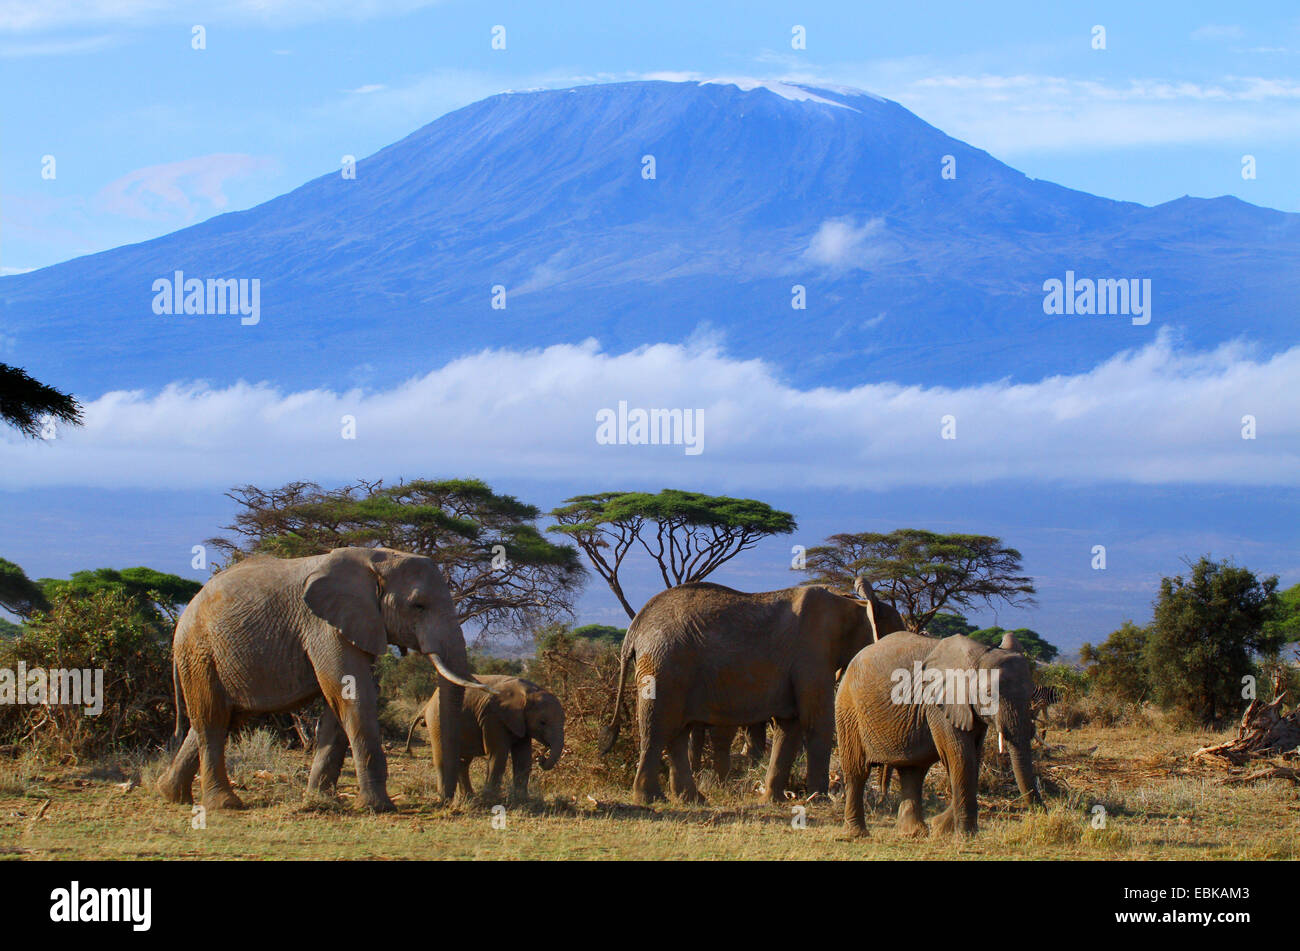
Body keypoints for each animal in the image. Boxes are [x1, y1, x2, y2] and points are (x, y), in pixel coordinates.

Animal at [155, 546, 493, 813]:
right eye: (418, 606)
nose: (443, 801)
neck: (376, 558)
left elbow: (338, 703)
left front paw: (320, 801)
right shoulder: (323, 626)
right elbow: (354, 696)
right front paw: (378, 808)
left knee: (220, 719)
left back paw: (171, 794)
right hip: (199, 651)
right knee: (212, 720)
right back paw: (224, 805)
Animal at [406, 674, 565, 800]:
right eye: (542, 722)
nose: (541, 757)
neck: (528, 692)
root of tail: (427, 705)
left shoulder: (520, 722)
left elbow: (523, 758)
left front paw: (522, 799)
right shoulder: (493, 717)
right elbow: (498, 754)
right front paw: (491, 798)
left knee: (462, 762)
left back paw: (468, 797)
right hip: (437, 722)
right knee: (445, 758)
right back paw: (446, 798)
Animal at [601, 577, 906, 804]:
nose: (883, 796)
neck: (851, 601)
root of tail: (634, 630)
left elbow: (789, 726)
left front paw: (774, 801)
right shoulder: (812, 655)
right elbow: (817, 723)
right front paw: (820, 800)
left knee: (677, 732)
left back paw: (692, 799)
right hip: (663, 667)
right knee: (657, 727)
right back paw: (652, 799)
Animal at [835, 630, 1044, 837]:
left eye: (1031, 693)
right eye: (989, 694)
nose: (1043, 813)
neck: (979, 655)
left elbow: (973, 757)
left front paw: (941, 827)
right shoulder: (938, 704)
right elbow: (960, 756)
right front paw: (964, 835)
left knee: (913, 771)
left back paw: (913, 833)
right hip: (848, 711)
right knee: (857, 771)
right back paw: (856, 834)